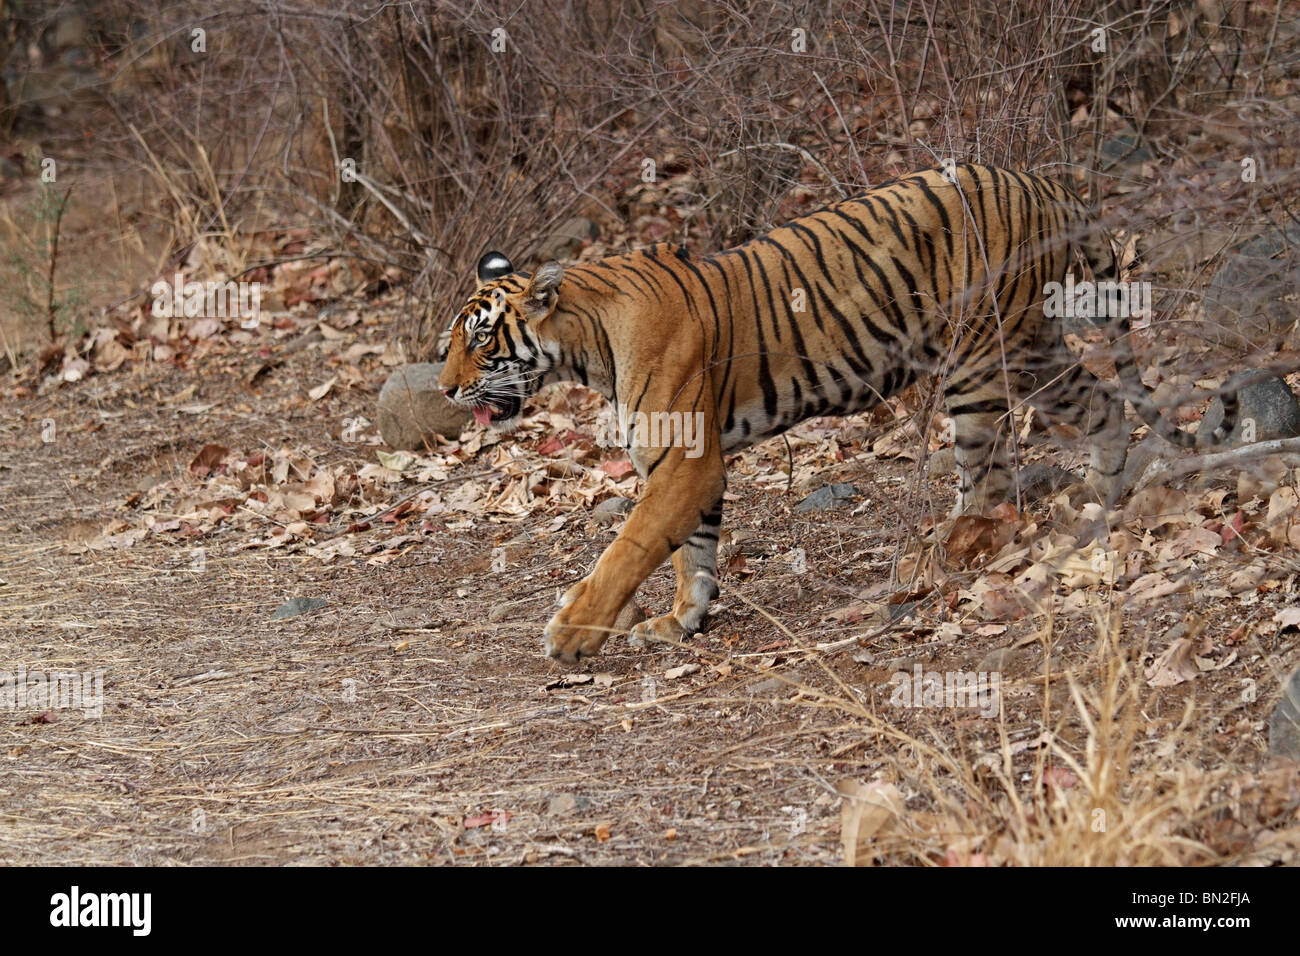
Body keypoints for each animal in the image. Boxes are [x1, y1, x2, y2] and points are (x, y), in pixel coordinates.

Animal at [438, 163, 1235, 664]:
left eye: (479, 339)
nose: (443, 391)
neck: (588, 346)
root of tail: (1044, 183)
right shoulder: (690, 467)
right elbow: (692, 552)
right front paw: (683, 620)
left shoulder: (684, 459)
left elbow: (630, 548)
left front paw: (573, 633)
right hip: (1030, 348)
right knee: (1100, 401)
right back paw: (1104, 495)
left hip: (979, 357)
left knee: (988, 481)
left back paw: (942, 555)